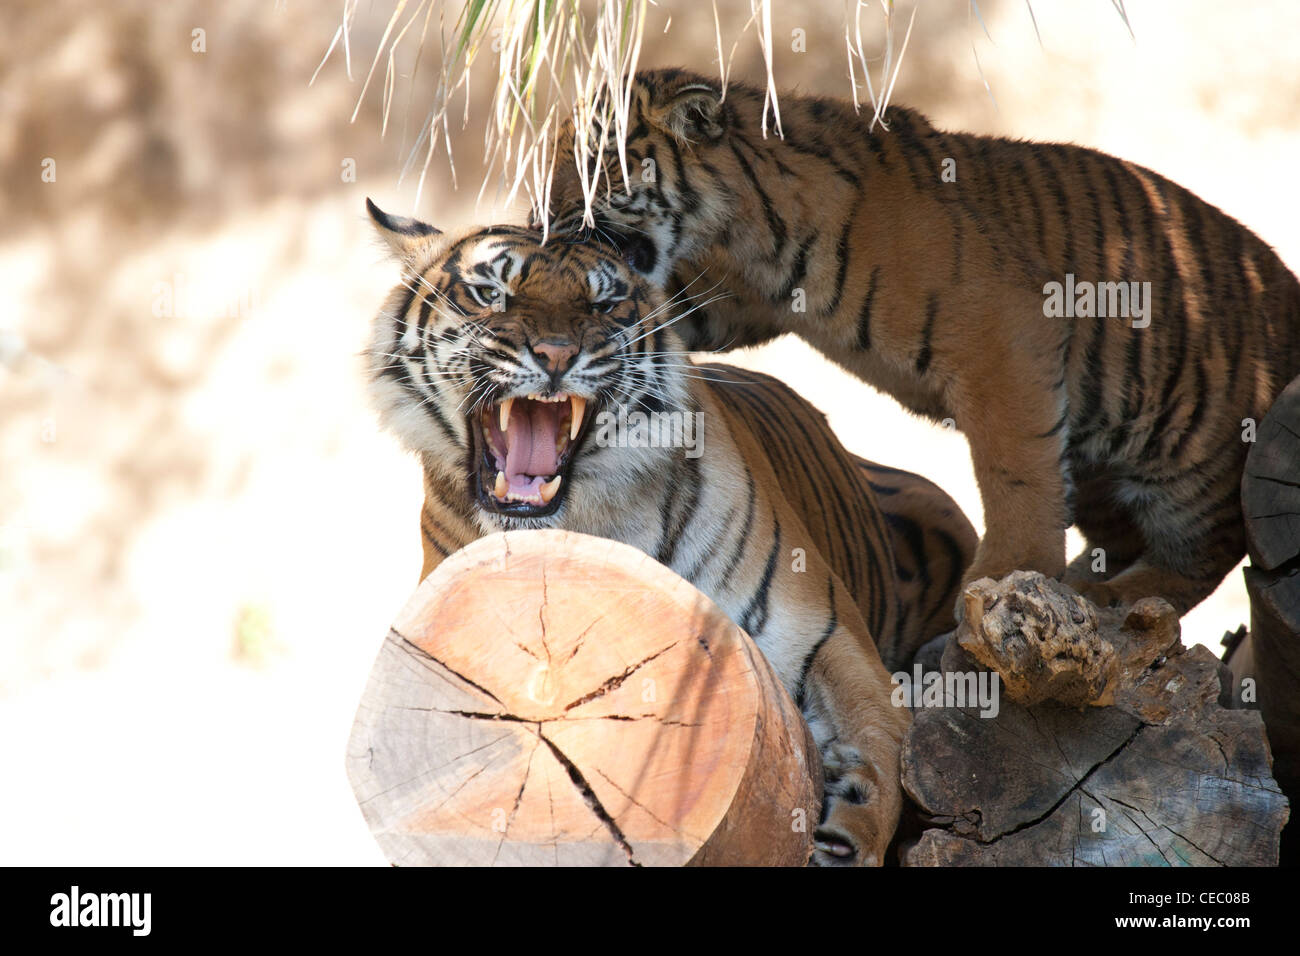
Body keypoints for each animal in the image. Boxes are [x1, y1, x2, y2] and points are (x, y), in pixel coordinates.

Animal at [362, 198, 978, 865]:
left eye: (603, 304)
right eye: (489, 293)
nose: (555, 355)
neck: (581, 524)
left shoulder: (824, 637)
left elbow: (878, 753)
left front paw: (843, 839)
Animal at [535, 67, 1300, 617]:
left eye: (592, 166)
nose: (542, 221)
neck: (748, 227)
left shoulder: (1004, 337)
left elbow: (1015, 473)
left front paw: (1004, 577)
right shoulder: (732, 300)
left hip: (1193, 456)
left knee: (1202, 555)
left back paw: (1110, 594)